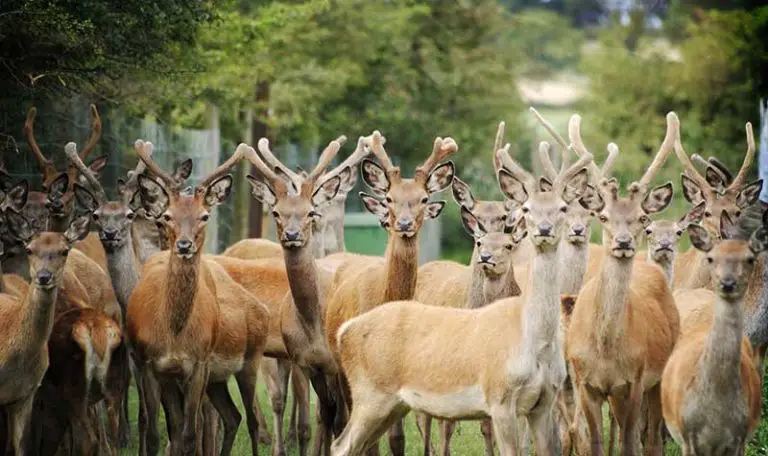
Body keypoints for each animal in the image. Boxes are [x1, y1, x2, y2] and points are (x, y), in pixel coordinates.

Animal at [127, 143, 269, 456]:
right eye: (167, 216)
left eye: (204, 216)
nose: (184, 244)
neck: (174, 334)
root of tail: (263, 310)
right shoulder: (152, 366)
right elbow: (159, 435)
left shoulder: (199, 364)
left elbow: (191, 436)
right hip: (216, 379)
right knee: (232, 416)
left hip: (250, 360)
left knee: (252, 420)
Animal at [330, 139, 592, 456]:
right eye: (528, 208)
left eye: (563, 207)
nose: (544, 229)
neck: (534, 342)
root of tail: (345, 331)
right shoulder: (500, 397)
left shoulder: (543, 404)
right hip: (371, 393)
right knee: (340, 445)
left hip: (392, 404)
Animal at [565, 112, 681, 456]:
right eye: (602, 216)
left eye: (643, 218)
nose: (624, 242)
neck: (605, 350)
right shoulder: (586, 384)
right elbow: (595, 441)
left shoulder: (635, 380)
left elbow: (630, 441)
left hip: (659, 375)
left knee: (653, 438)